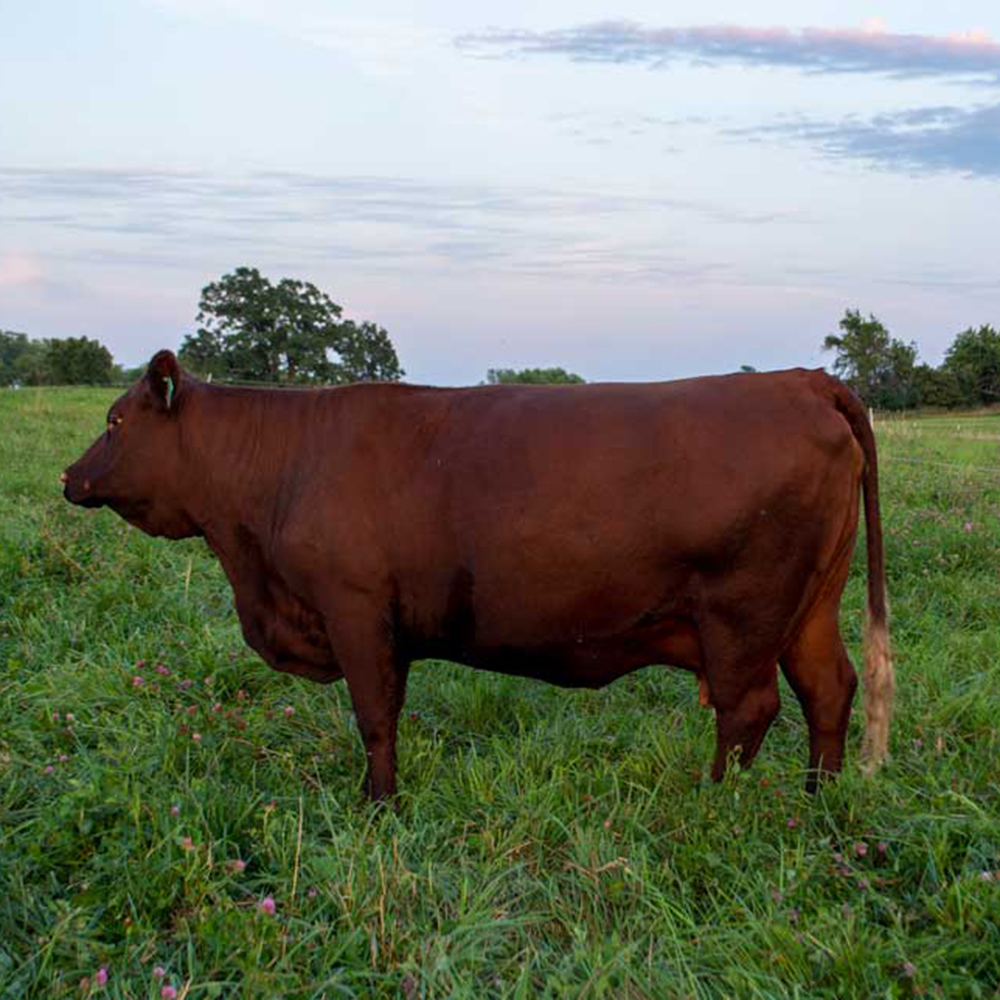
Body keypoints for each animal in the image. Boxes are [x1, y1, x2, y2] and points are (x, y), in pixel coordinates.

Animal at [62, 350, 894, 799]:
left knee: (749, 708)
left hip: (744, 612)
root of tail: (800, 379)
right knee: (828, 689)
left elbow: (374, 717)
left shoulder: (354, 607)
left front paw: (378, 808)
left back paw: (715, 799)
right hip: (807, 607)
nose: (70, 477)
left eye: (114, 422)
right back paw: (815, 800)